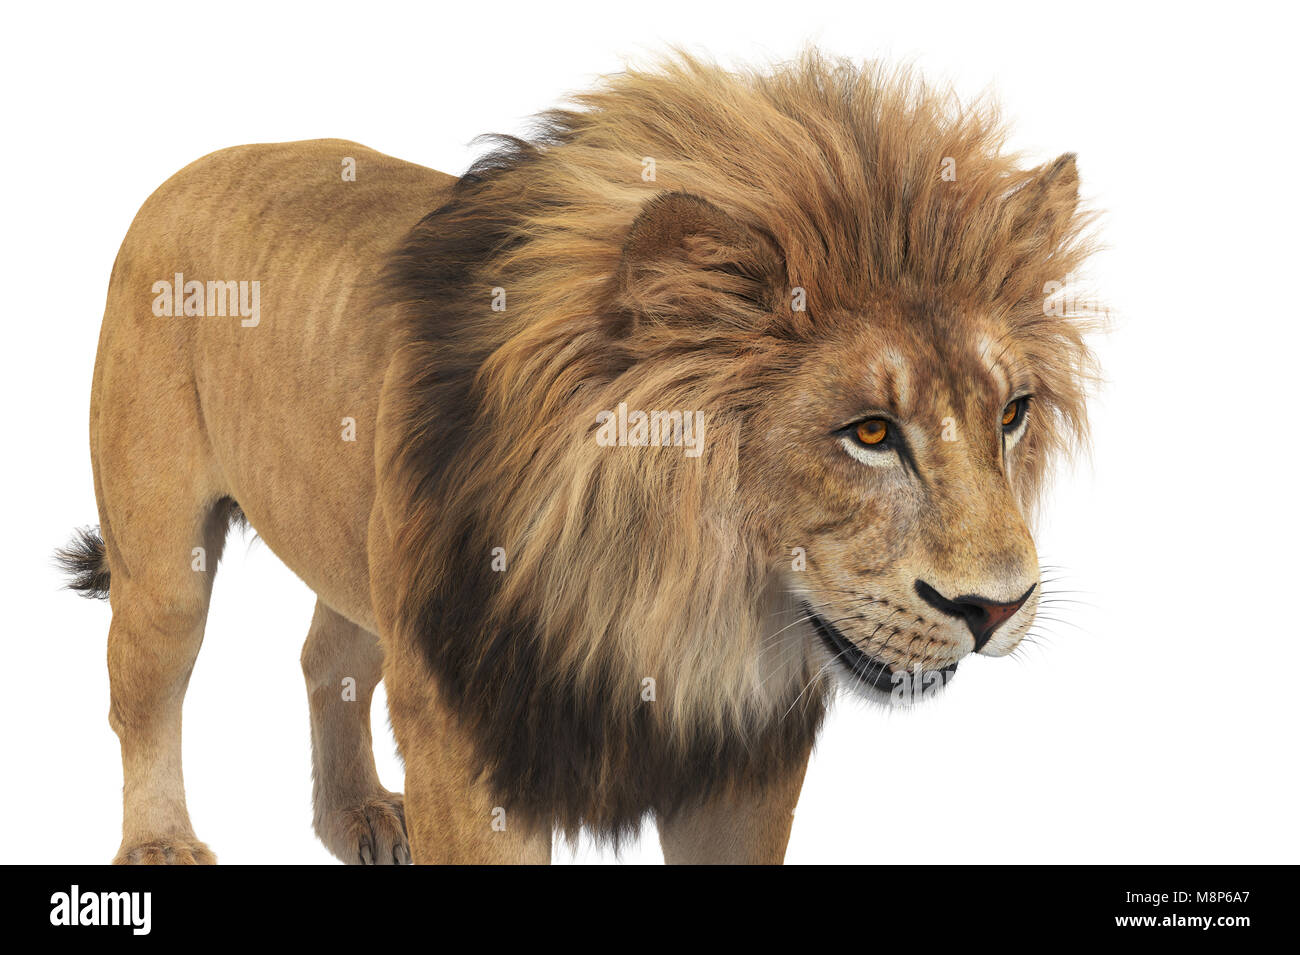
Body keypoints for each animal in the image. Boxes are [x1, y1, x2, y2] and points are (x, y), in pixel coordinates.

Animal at [58, 50, 1098, 864]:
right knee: (141, 690)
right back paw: (159, 844)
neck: (672, 601)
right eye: (871, 432)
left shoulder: (743, 763)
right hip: (164, 561)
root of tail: (193, 166)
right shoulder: (467, 736)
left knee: (326, 654)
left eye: (1011, 414)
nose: (996, 607)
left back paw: (358, 815)